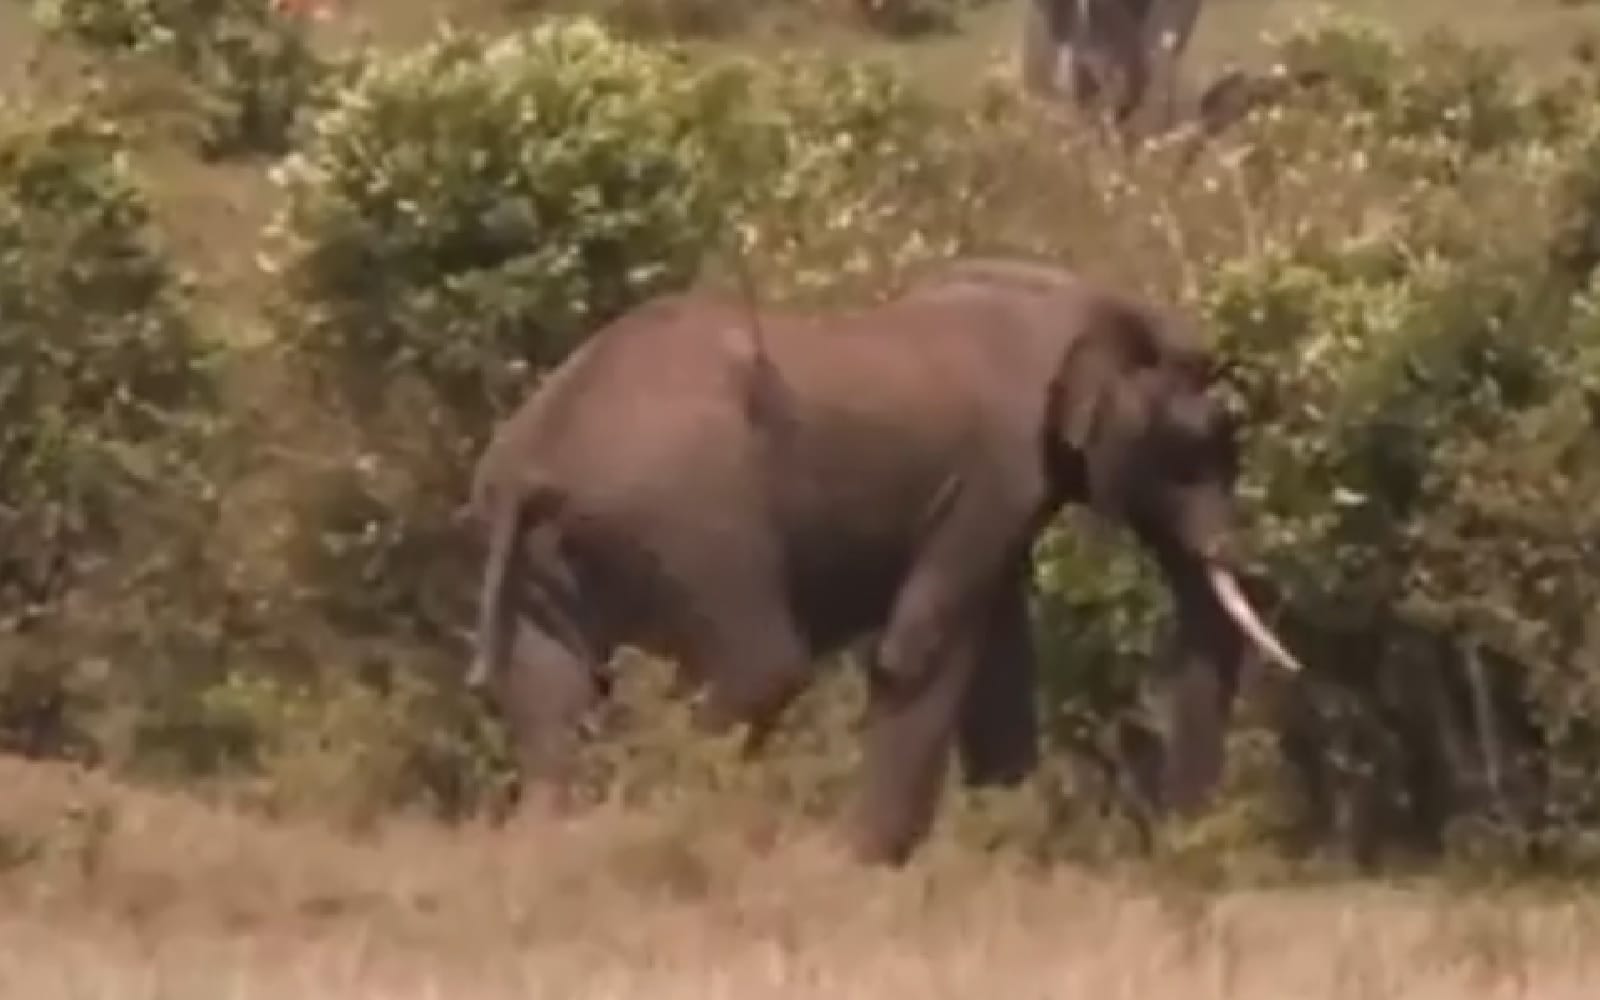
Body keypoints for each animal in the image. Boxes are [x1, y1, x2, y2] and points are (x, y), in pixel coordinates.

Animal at [463, 256, 1303, 865]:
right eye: (1197, 450)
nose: (1178, 843)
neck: (1085, 300)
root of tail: (536, 456)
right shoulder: (996, 473)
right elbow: (921, 651)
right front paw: (861, 864)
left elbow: (999, 661)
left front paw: (1005, 850)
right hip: (690, 512)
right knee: (761, 668)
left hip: (553, 553)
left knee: (549, 688)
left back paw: (547, 844)